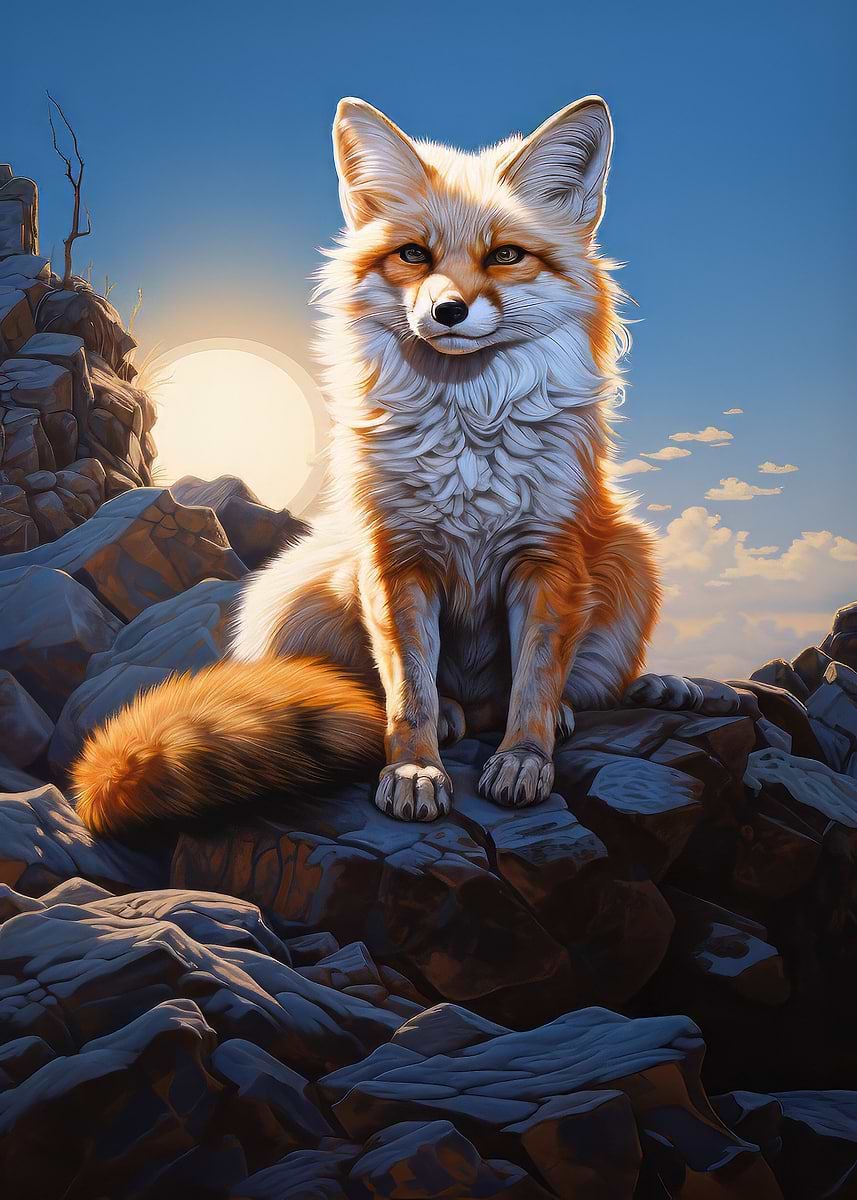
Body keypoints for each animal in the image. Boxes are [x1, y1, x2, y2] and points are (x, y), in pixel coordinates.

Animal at [73, 95, 679, 837]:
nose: (447, 310)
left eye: (506, 255)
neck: (468, 437)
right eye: (413, 254)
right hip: (301, 595)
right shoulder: (397, 561)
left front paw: (523, 758)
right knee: (388, 692)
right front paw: (414, 769)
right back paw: (446, 719)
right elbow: (408, 692)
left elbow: (534, 680)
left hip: (630, 555)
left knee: (547, 688)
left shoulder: (548, 559)